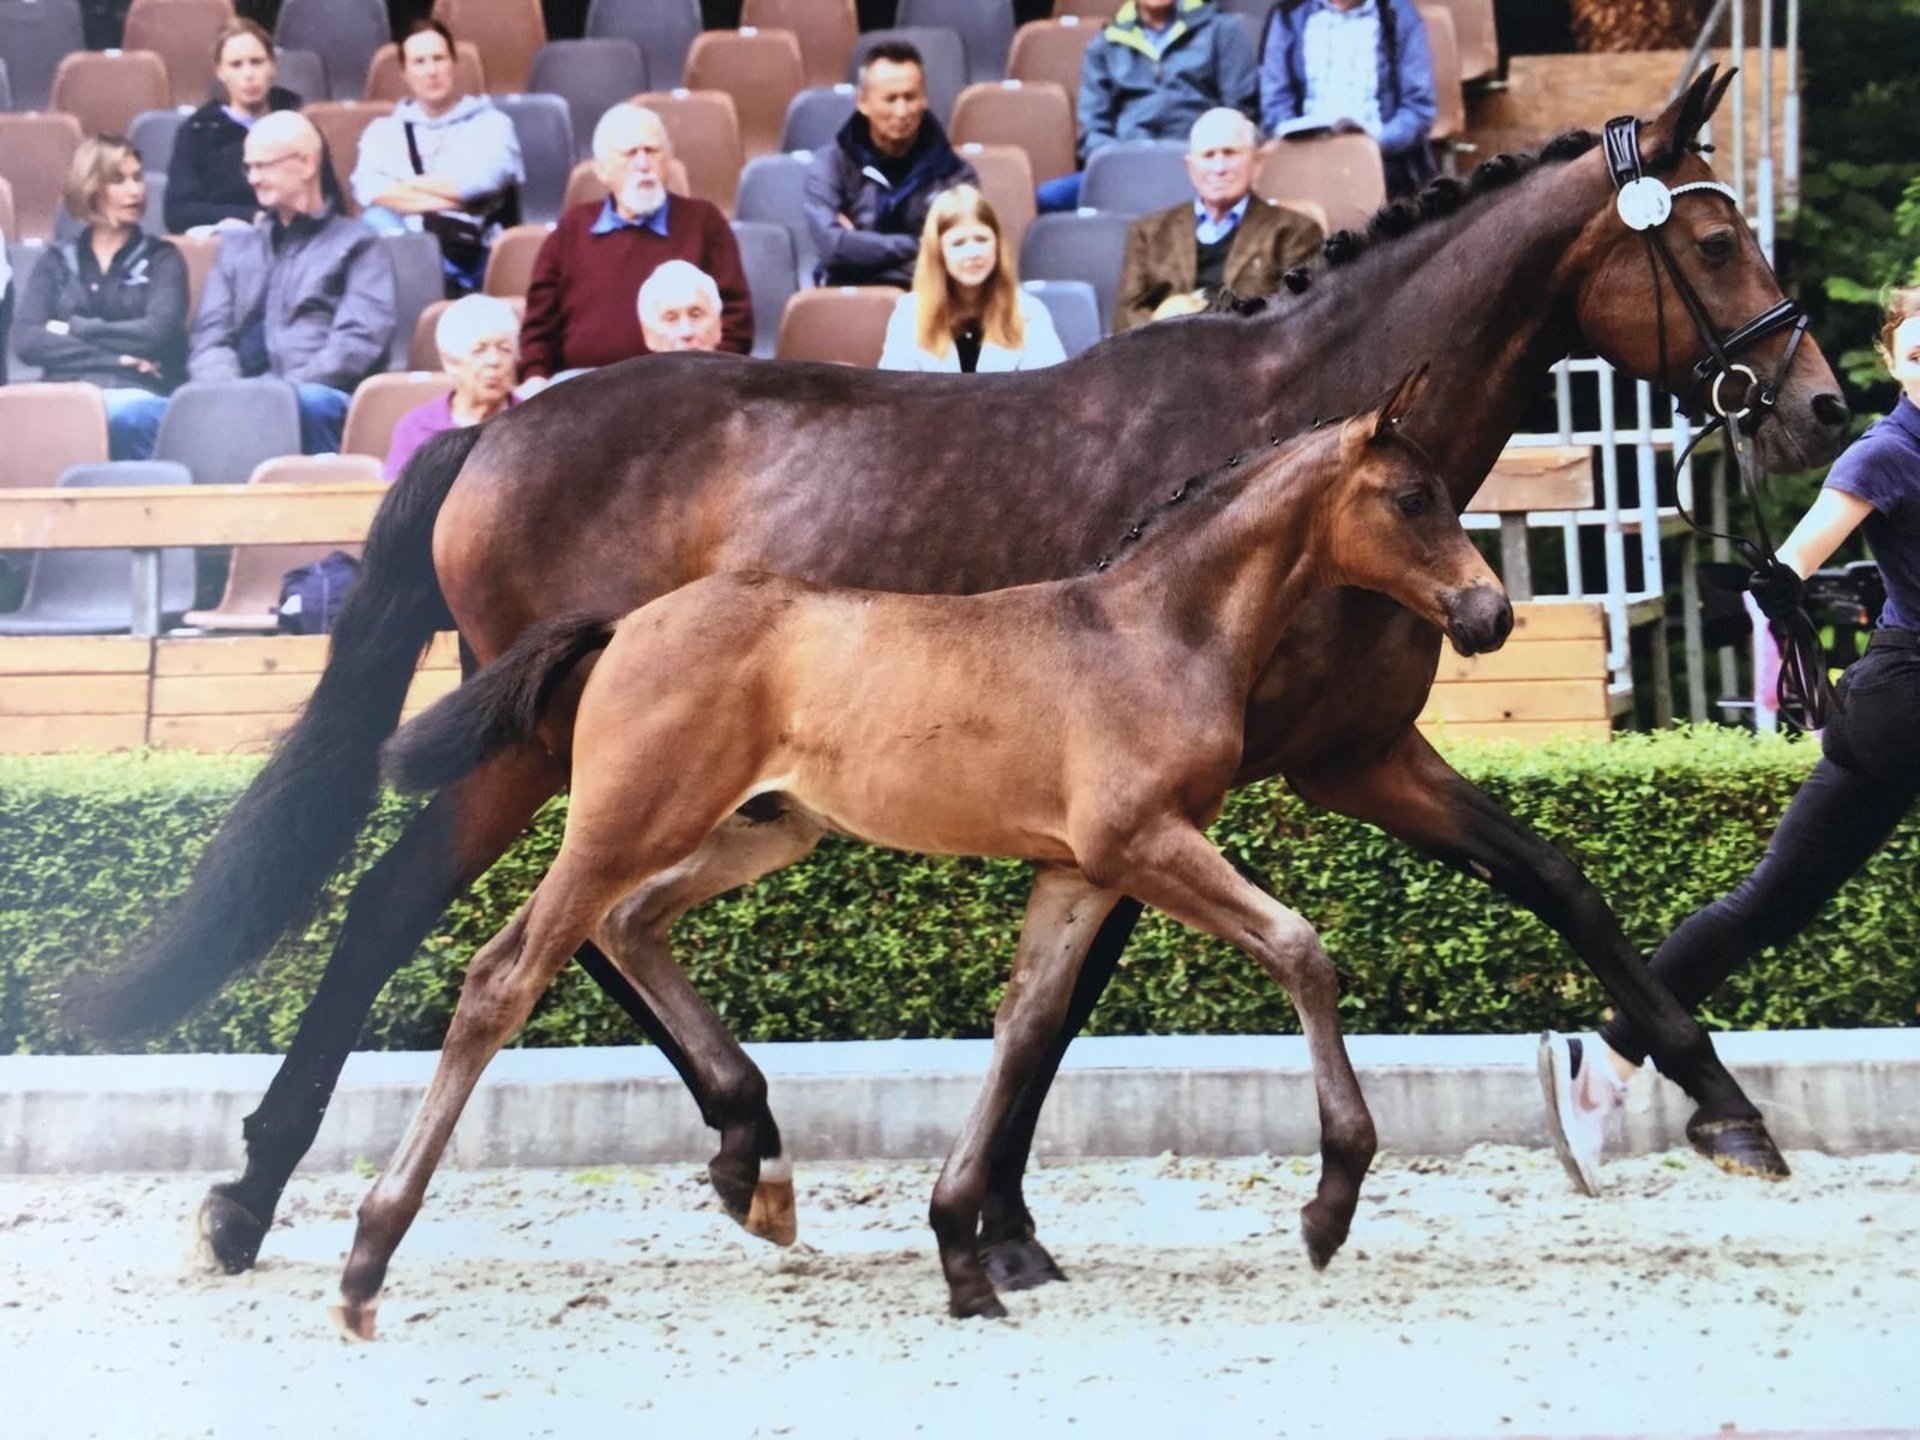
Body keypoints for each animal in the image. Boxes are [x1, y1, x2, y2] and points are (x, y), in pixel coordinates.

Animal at [327, 373, 1511, 1336]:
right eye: (1412, 499)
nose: (1491, 614)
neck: (1150, 631)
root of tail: (622, 627)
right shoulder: (1143, 840)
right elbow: (1299, 947)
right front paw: (1330, 1202)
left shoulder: (1081, 869)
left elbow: (1026, 1023)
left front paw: (962, 1252)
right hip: (627, 819)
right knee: (505, 975)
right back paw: (366, 1262)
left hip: (764, 825)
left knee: (626, 924)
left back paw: (759, 1176)